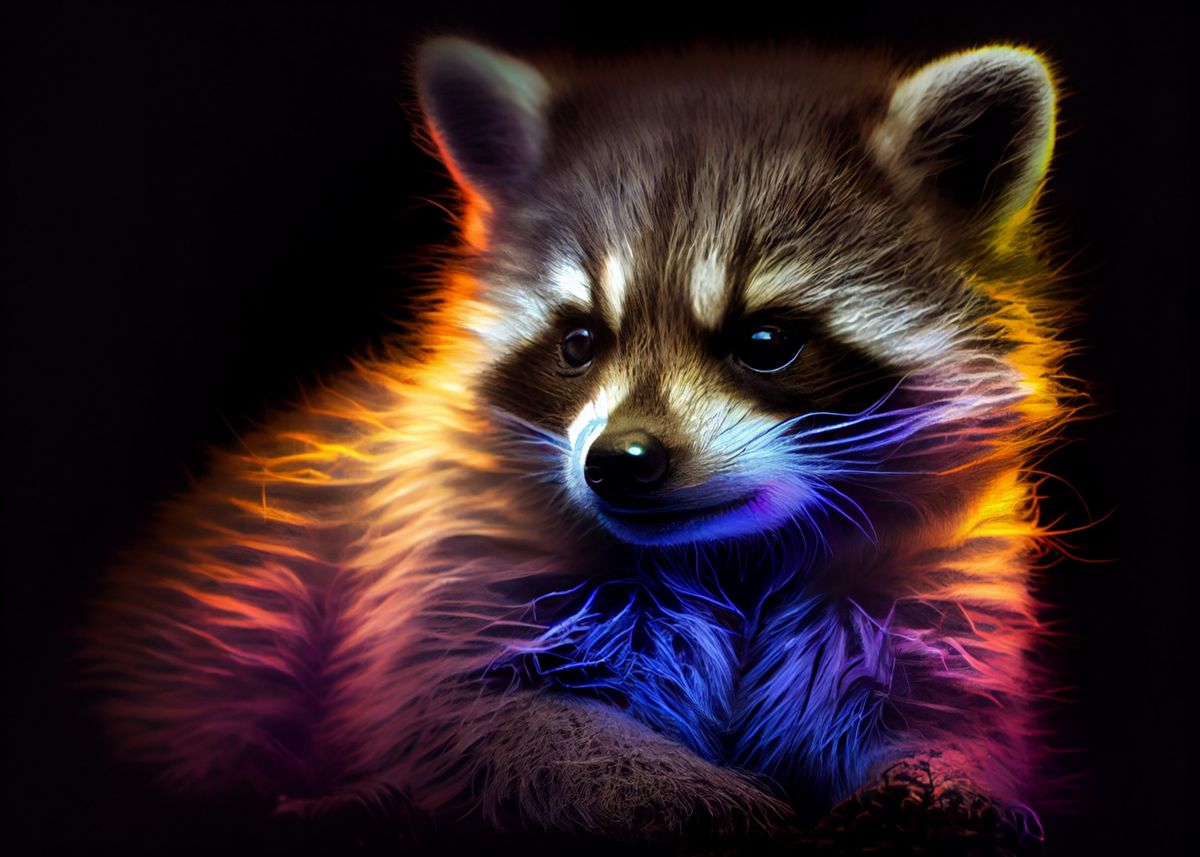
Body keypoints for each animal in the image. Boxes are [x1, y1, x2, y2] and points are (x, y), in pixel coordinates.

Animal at [86, 37, 1073, 850]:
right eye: (579, 342)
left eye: (765, 340)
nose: (619, 462)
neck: (729, 553)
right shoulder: (438, 553)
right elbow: (476, 712)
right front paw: (669, 784)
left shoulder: (938, 593)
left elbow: (948, 721)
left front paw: (941, 784)